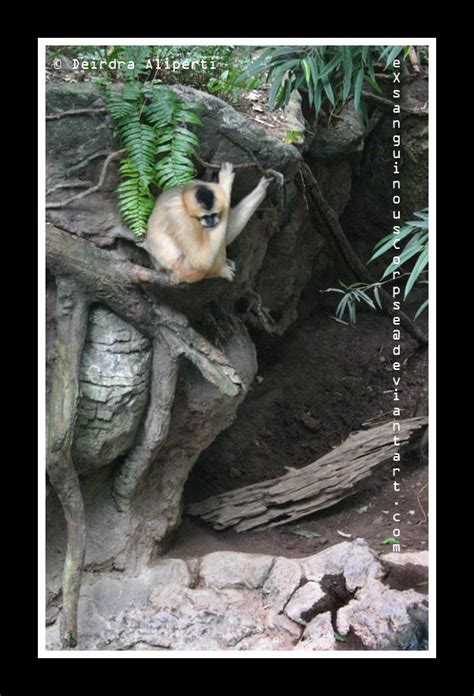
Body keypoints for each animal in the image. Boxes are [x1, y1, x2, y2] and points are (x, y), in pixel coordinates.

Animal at [144, 162, 282, 283]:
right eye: (205, 216)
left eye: (214, 214)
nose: (211, 221)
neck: (182, 197)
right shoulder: (178, 214)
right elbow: (201, 259)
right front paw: (225, 181)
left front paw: (263, 186)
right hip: (185, 271)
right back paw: (220, 272)